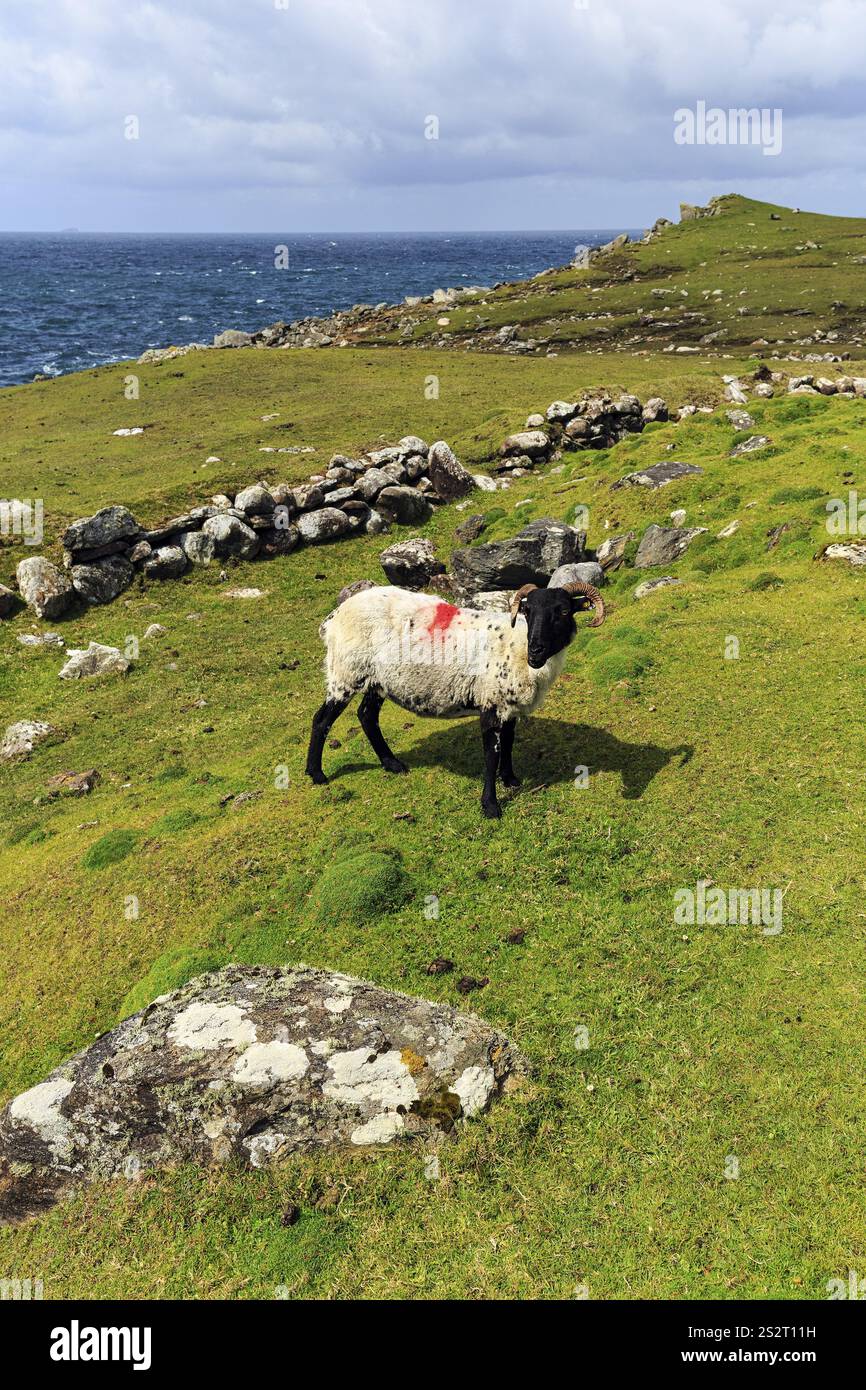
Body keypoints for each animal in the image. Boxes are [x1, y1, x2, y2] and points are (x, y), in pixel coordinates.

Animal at [306, 579, 605, 818]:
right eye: (528, 611)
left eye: (563, 611)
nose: (536, 650)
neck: (516, 644)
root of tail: (333, 617)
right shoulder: (491, 704)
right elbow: (491, 755)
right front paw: (490, 806)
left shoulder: (509, 705)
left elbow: (509, 743)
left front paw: (510, 779)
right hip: (346, 672)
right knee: (322, 720)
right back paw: (316, 774)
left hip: (378, 680)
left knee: (367, 716)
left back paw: (392, 764)